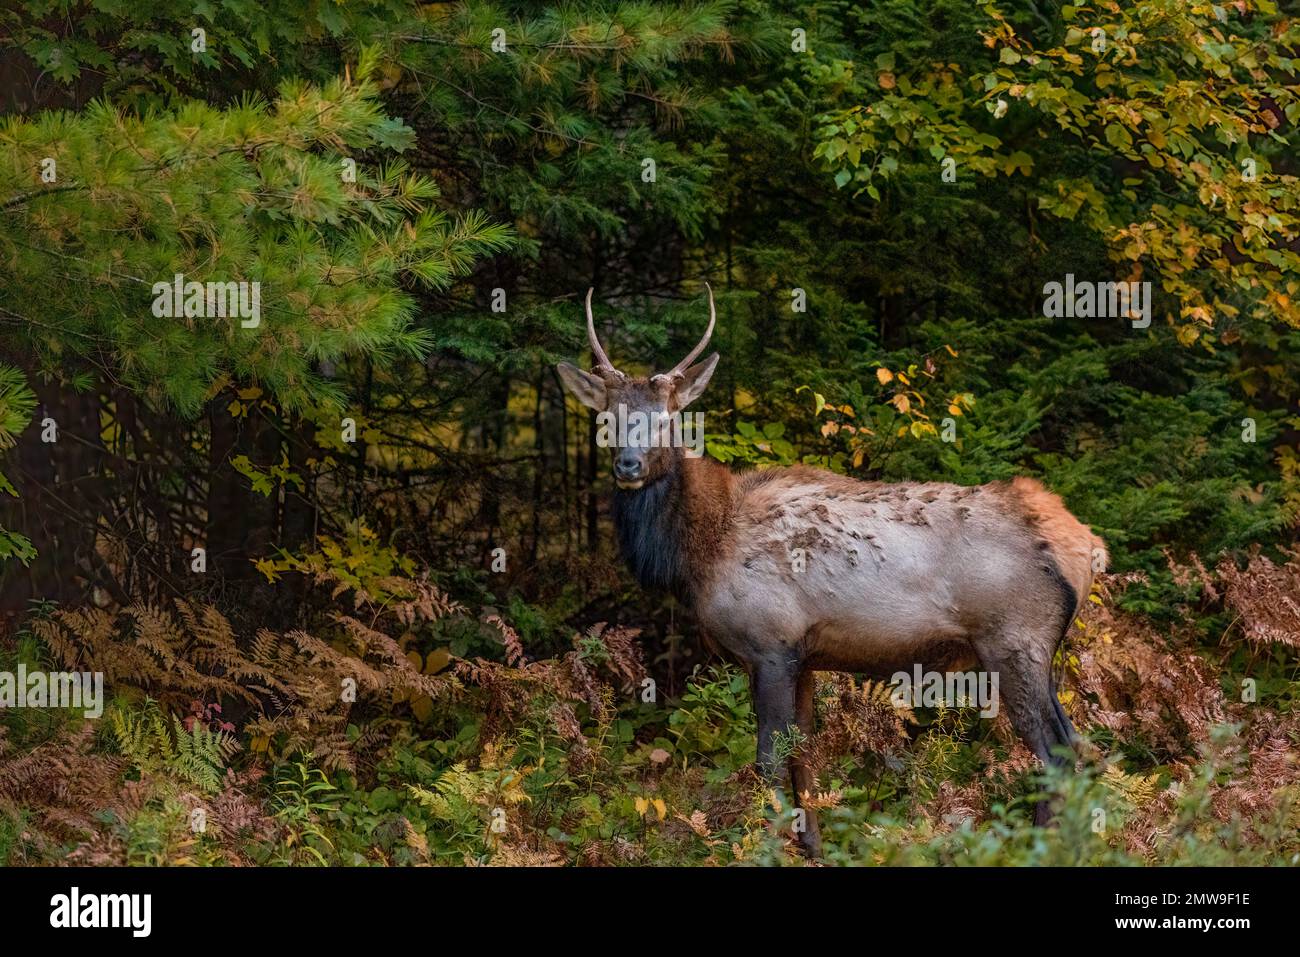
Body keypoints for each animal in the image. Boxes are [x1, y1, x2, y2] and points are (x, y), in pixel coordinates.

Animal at [556, 285, 1107, 857]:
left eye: (667, 418)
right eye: (606, 418)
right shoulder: (802, 657)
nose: (629, 466)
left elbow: (770, 761)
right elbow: (803, 757)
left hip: (1014, 639)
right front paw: (815, 849)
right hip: (1041, 650)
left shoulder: (770, 644)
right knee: (1078, 746)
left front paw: (769, 848)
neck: (700, 552)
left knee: (1055, 751)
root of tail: (1089, 547)